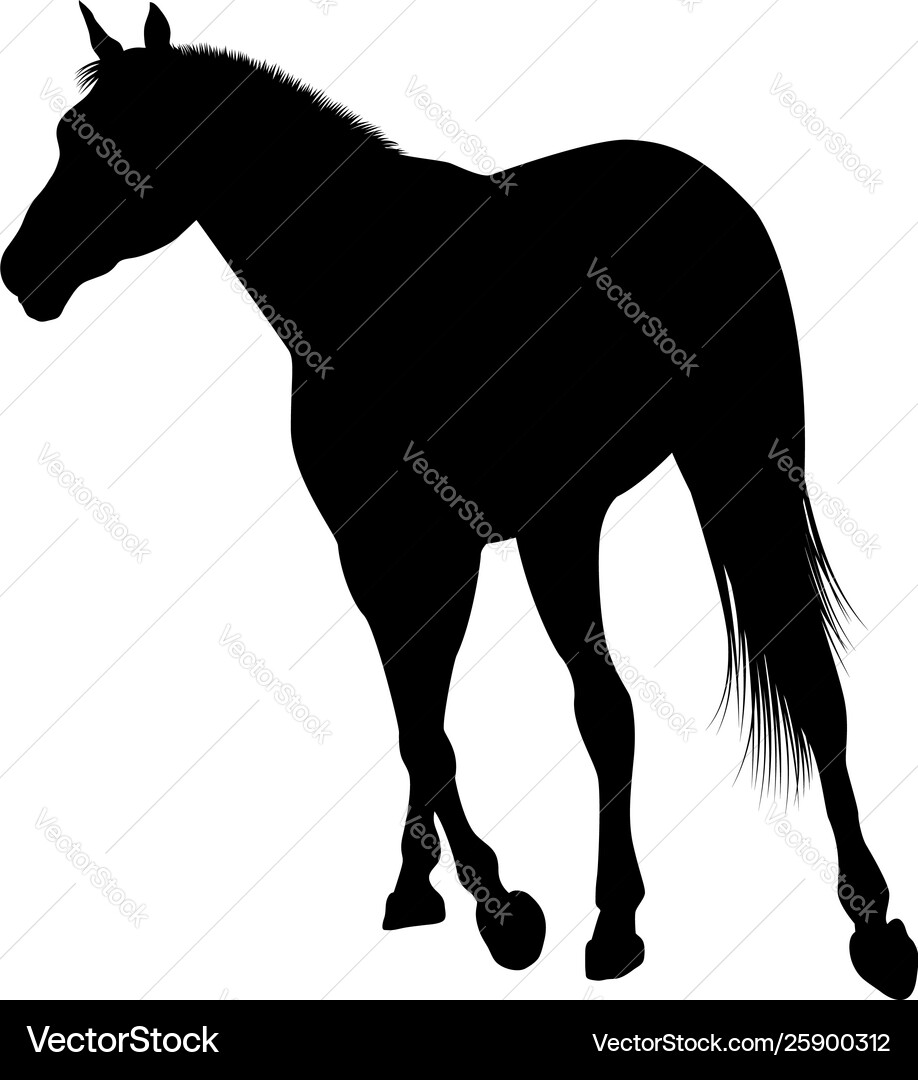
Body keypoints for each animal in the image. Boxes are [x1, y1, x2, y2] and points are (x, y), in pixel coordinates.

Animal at [2, 2, 915, 999]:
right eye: (65, 136)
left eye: (117, 147)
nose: (22, 273)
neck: (373, 285)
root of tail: (709, 189)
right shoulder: (384, 546)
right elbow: (419, 721)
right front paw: (427, 889)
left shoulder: (458, 539)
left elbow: (450, 726)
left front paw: (504, 911)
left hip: (679, 480)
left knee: (712, 691)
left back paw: (845, 922)